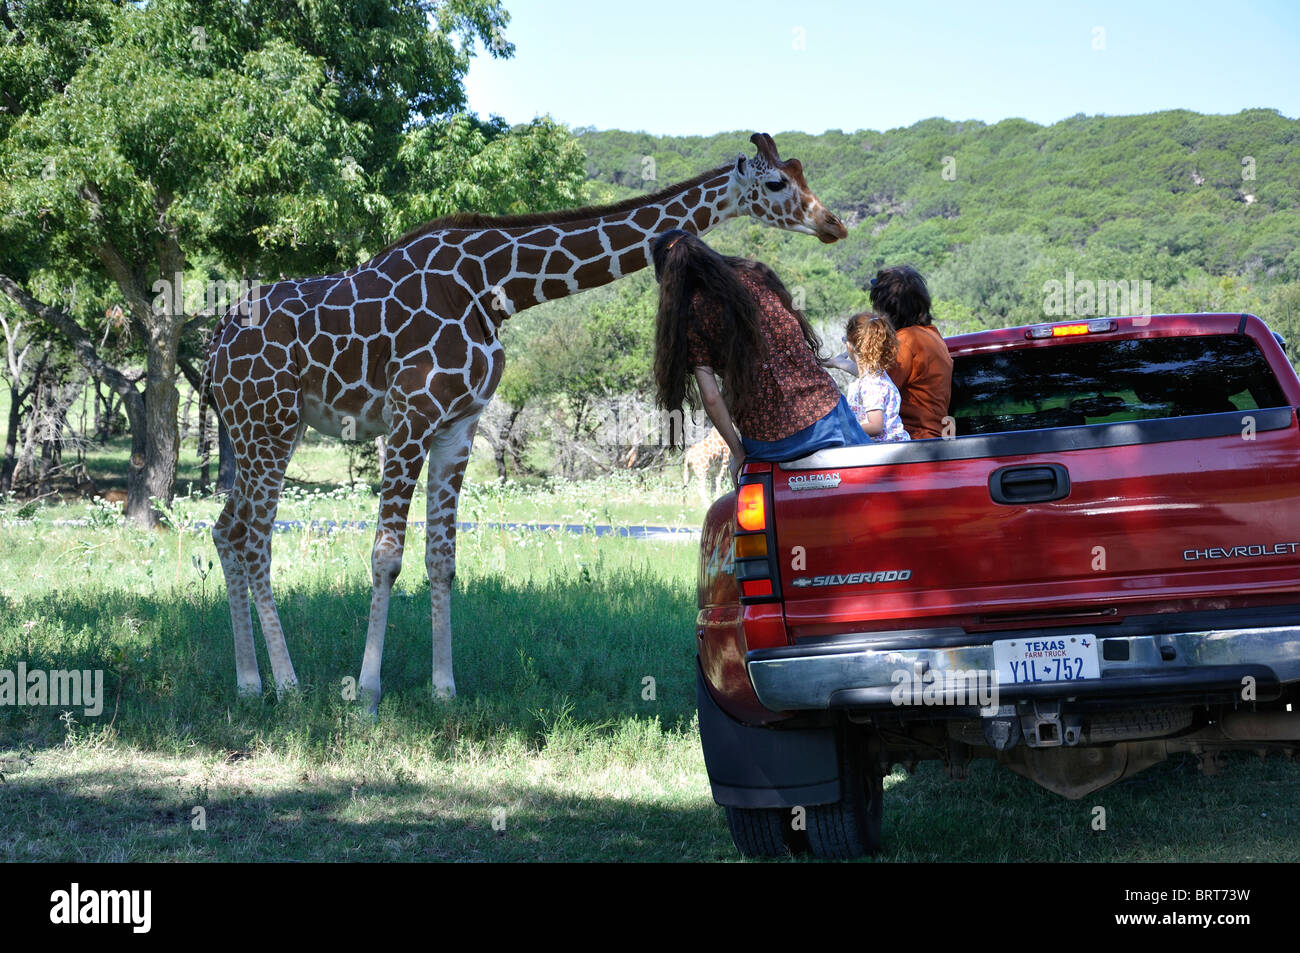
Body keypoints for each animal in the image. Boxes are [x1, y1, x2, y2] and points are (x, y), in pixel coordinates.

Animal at [202, 132, 847, 709]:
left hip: (260, 428)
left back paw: (249, 683)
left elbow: (442, 558)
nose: (834, 224)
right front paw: (366, 695)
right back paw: (287, 686)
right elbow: (386, 555)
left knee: (227, 529)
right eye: (775, 183)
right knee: (254, 539)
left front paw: (444, 692)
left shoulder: (457, 424)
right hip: (267, 421)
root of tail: (213, 349)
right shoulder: (410, 416)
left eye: (801, 171)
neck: (495, 287)